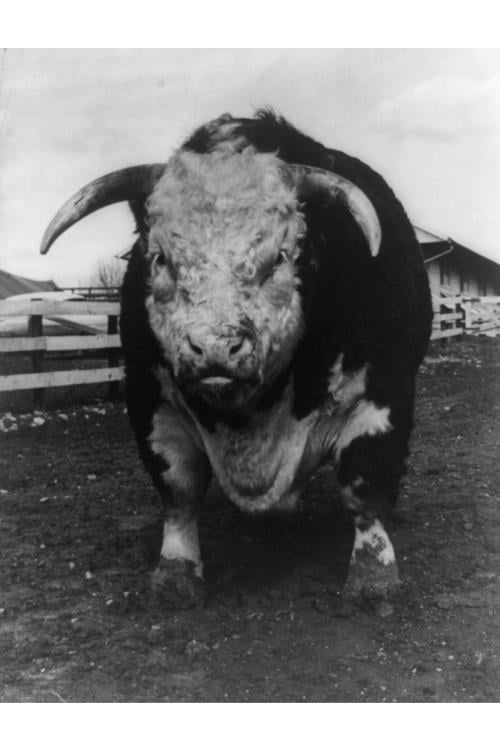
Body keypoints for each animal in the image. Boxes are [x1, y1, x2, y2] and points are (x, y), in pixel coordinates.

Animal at [41, 110, 433, 606]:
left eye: (279, 257)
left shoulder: (381, 396)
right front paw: (175, 576)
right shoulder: (151, 401)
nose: (213, 347)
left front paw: (373, 581)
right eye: (161, 259)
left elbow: (365, 485)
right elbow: (179, 489)